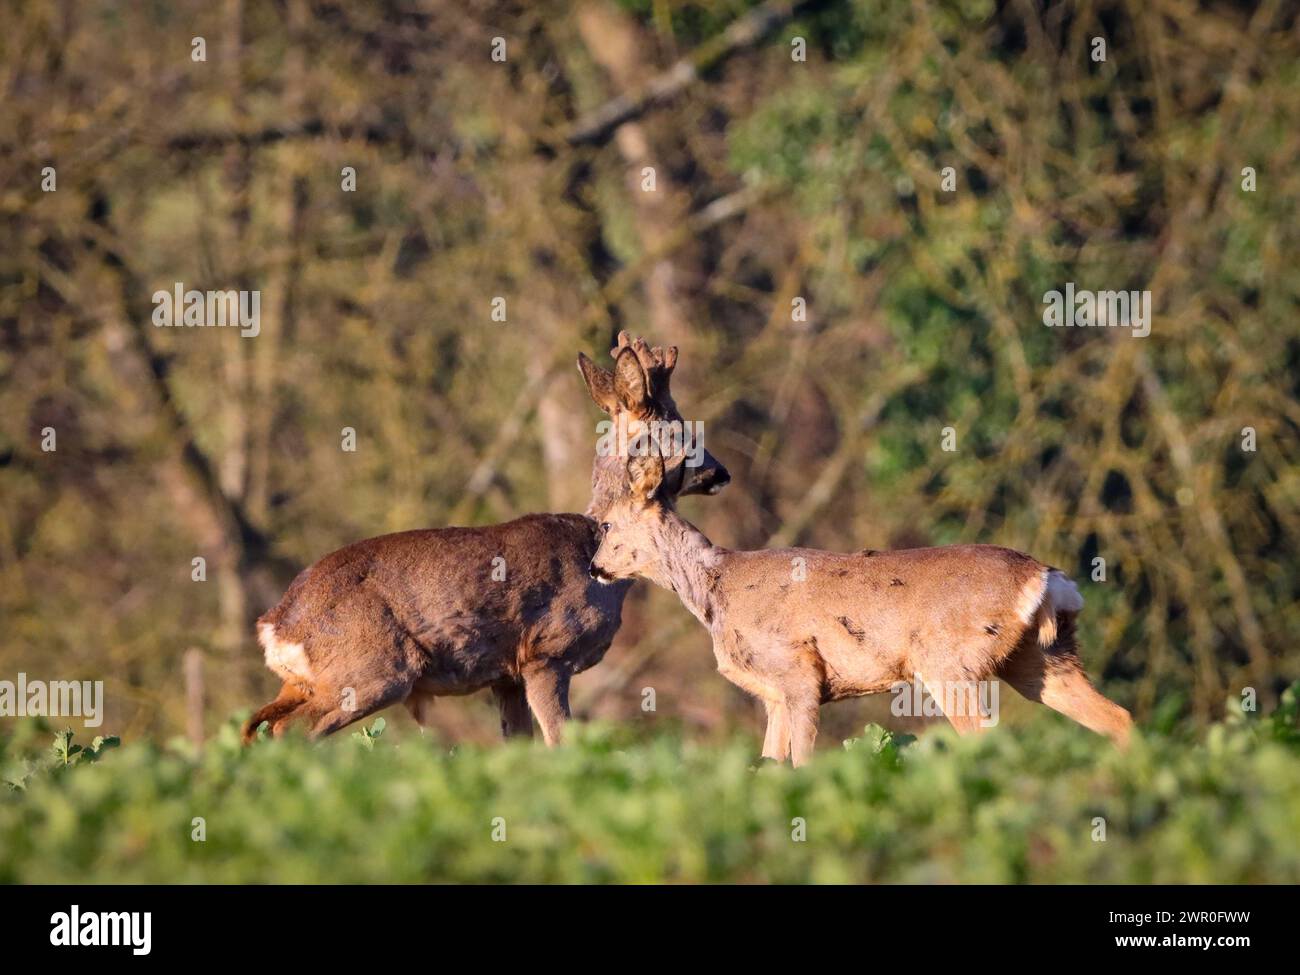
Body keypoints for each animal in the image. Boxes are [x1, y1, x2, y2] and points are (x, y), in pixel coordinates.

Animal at [243, 332, 728, 743]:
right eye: (683, 431)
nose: (722, 473)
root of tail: (275, 624)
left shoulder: (504, 677)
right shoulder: (545, 654)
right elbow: (560, 742)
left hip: (308, 682)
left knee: (256, 726)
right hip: (371, 669)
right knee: (289, 730)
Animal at [590, 454, 1128, 769]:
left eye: (606, 523)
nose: (595, 568)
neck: (717, 588)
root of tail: (1047, 580)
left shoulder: (799, 674)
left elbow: (803, 764)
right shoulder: (773, 695)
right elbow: (769, 765)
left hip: (950, 663)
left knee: (984, 739)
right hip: (1042, 658)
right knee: (1116, 717)